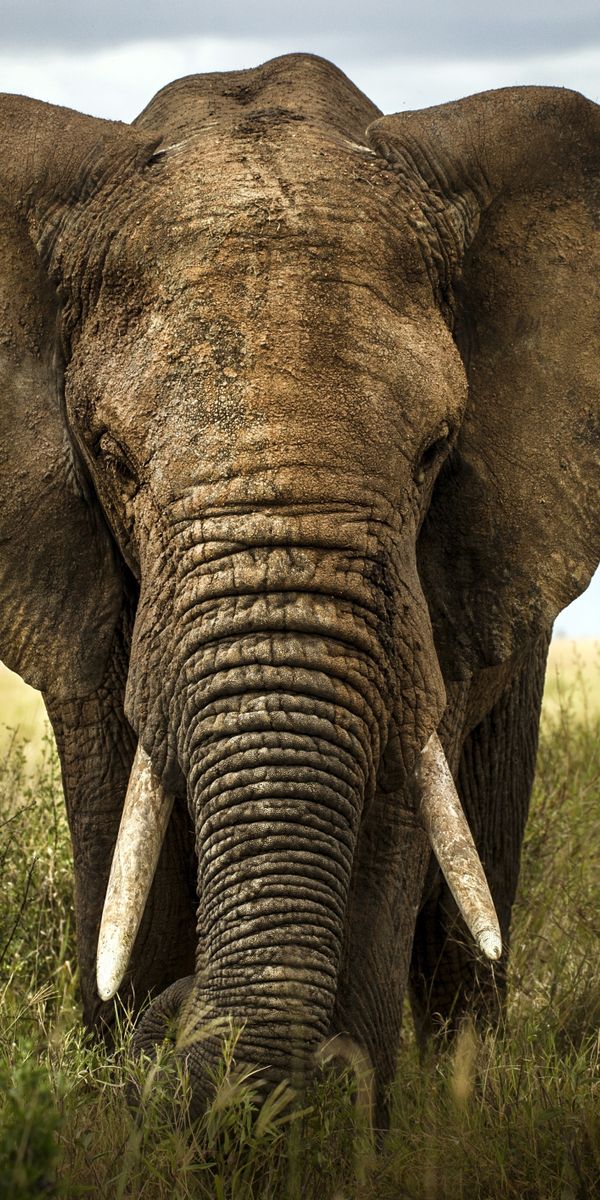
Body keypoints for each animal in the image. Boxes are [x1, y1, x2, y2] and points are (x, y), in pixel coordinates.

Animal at [0, 53, 598, 1125]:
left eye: (436, 450)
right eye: (112, 458)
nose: (178, 1021)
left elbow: (398, 803)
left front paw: (332, 1119)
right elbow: (120, 821)